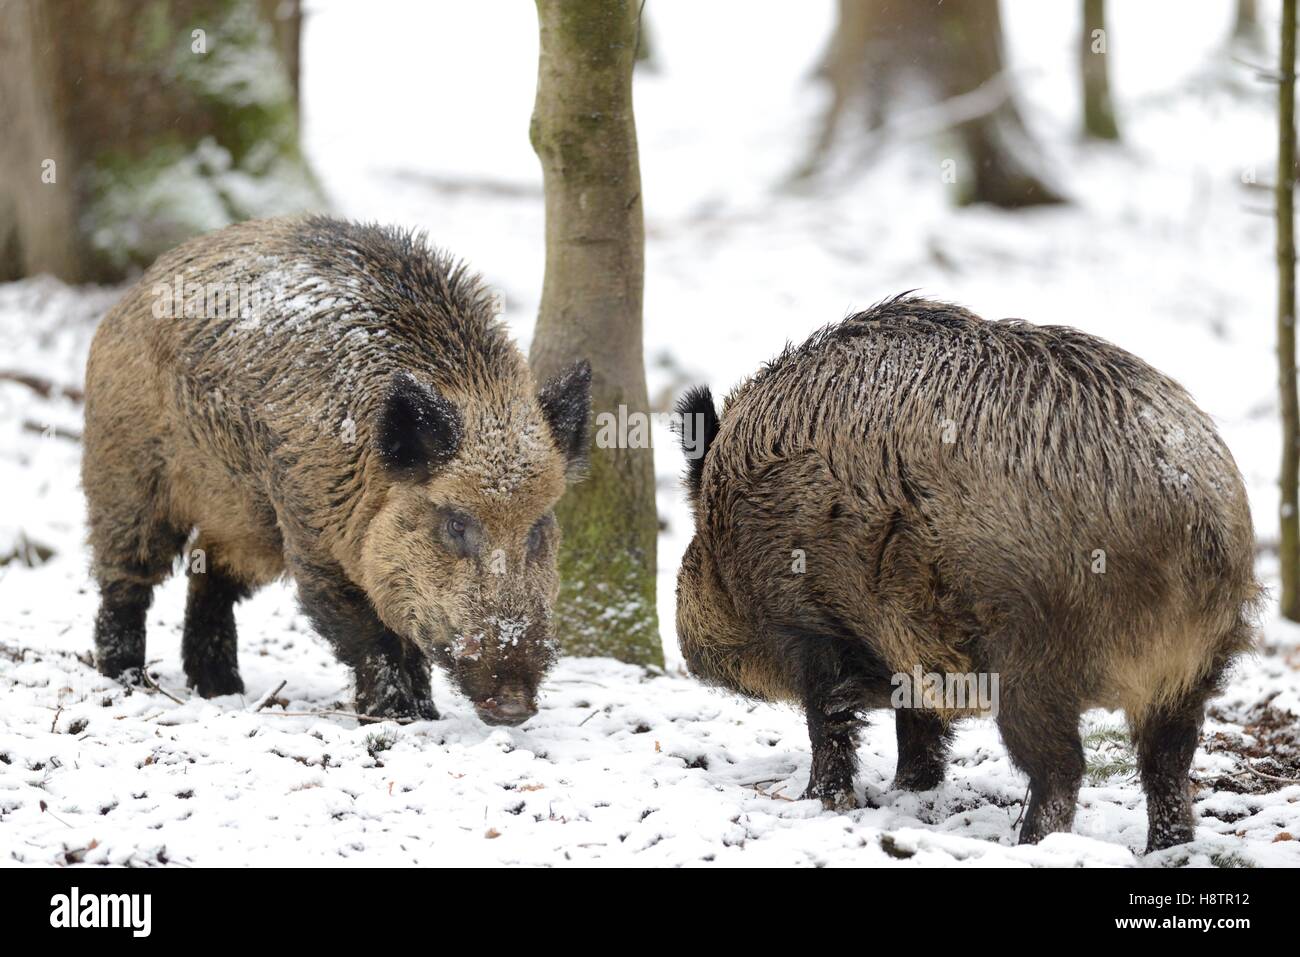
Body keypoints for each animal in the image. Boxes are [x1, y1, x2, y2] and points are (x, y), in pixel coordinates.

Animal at [82, 216, 591, 726]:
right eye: (455, 523)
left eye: (537, 528)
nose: (513, 706)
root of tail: (135, 291)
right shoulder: (312, 527)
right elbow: (371, 634)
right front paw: (399, 717)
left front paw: (425, 715)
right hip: (126, 471)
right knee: (126, 576)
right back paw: (126, 678)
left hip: (246, 518)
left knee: (208, 574)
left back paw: (222, 689)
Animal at [673, 294, 1259, 851]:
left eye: (694, 538)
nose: (693, 661)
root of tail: (1193, 511)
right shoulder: (912, 640)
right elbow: (918, 726)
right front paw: (908, 793)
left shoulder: (812, 626)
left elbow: (831, 723)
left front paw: (819, 801)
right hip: (1198, 664)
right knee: (1168, 763)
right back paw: (1165, 847)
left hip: (1035, 661)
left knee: (1064, 767)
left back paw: (1032, 844)